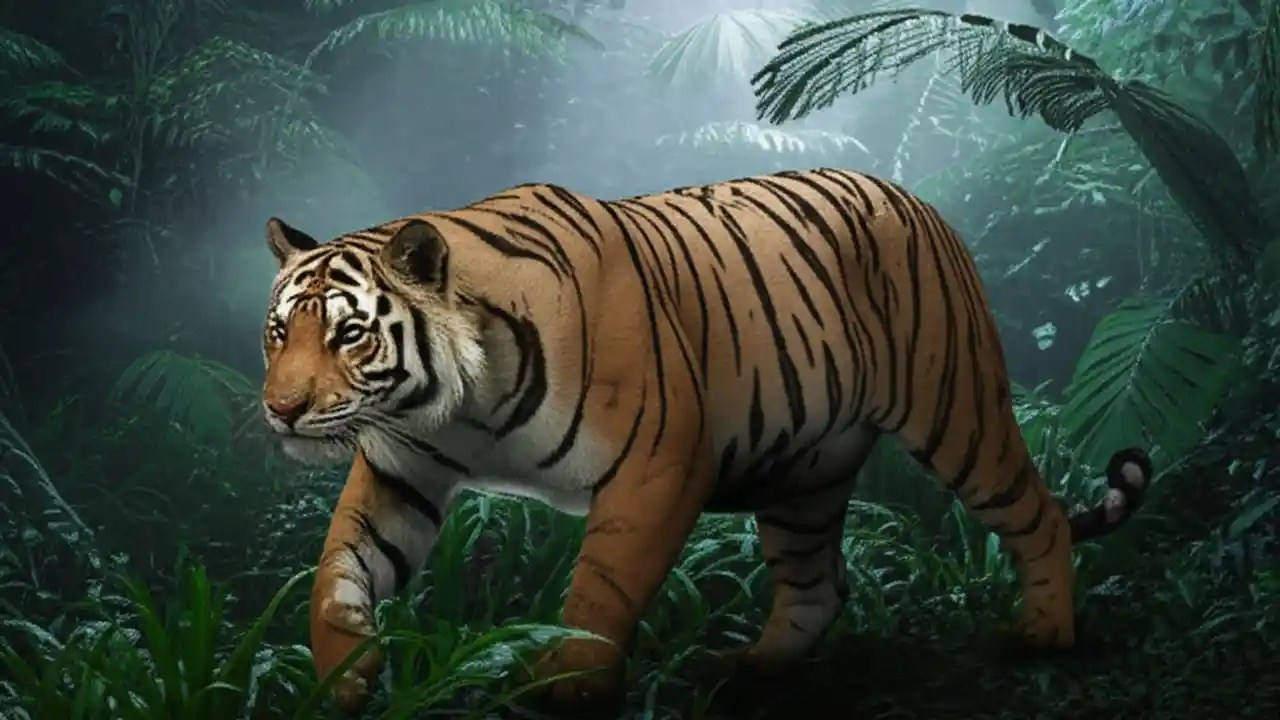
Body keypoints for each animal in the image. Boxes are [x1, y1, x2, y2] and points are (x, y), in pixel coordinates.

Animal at [259, 167, 1151, 714]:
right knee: (818, 585)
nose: (281, 409)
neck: (459, 405)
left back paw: (1043, 635)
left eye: (347, 335)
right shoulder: (399, 469)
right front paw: (345, 676)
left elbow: (602, 588)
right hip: (804, 475)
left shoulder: (657, 464)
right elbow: (339, 570)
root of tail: (914, 197)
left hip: (957, 410)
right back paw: (747, 672)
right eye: (277, 332)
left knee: (1035, 514)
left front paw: (564, 687)